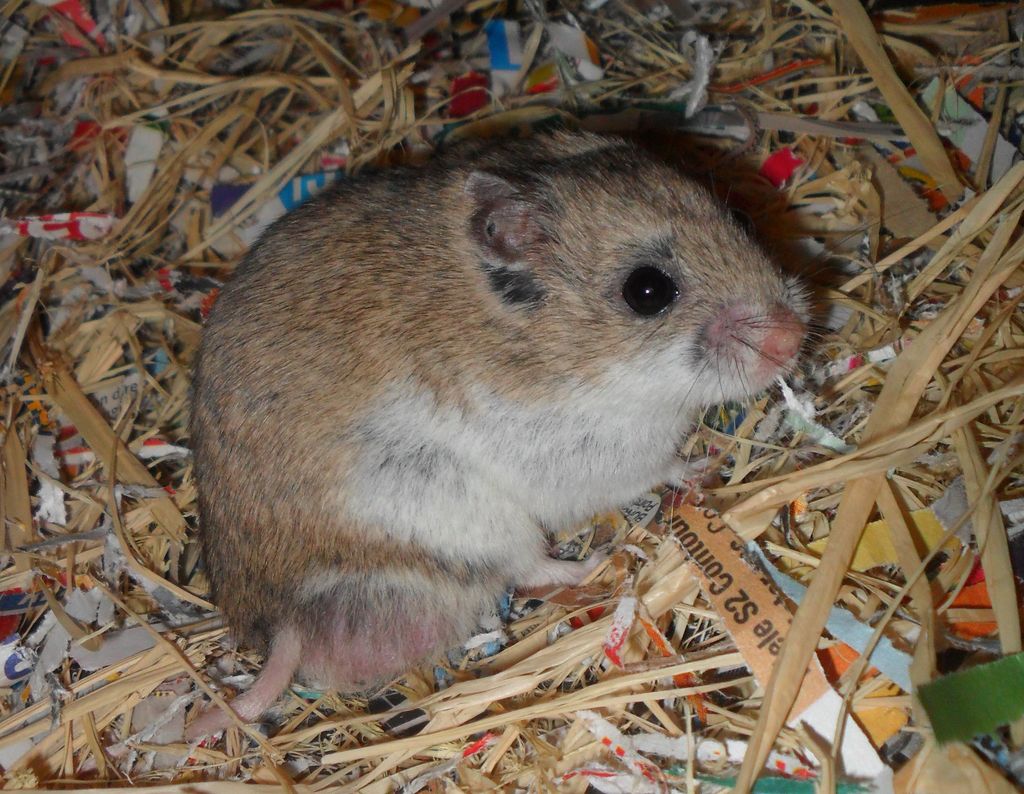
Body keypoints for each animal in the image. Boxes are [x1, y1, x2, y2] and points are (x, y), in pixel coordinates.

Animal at [187, 130, 808, 736]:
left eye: (741, 218)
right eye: (647, 290)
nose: (792, 339)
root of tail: (282, 622)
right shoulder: (590, 454)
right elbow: (659, 467)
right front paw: (704, 464)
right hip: (465, 514)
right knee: (527, 568)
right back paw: (599, 562)